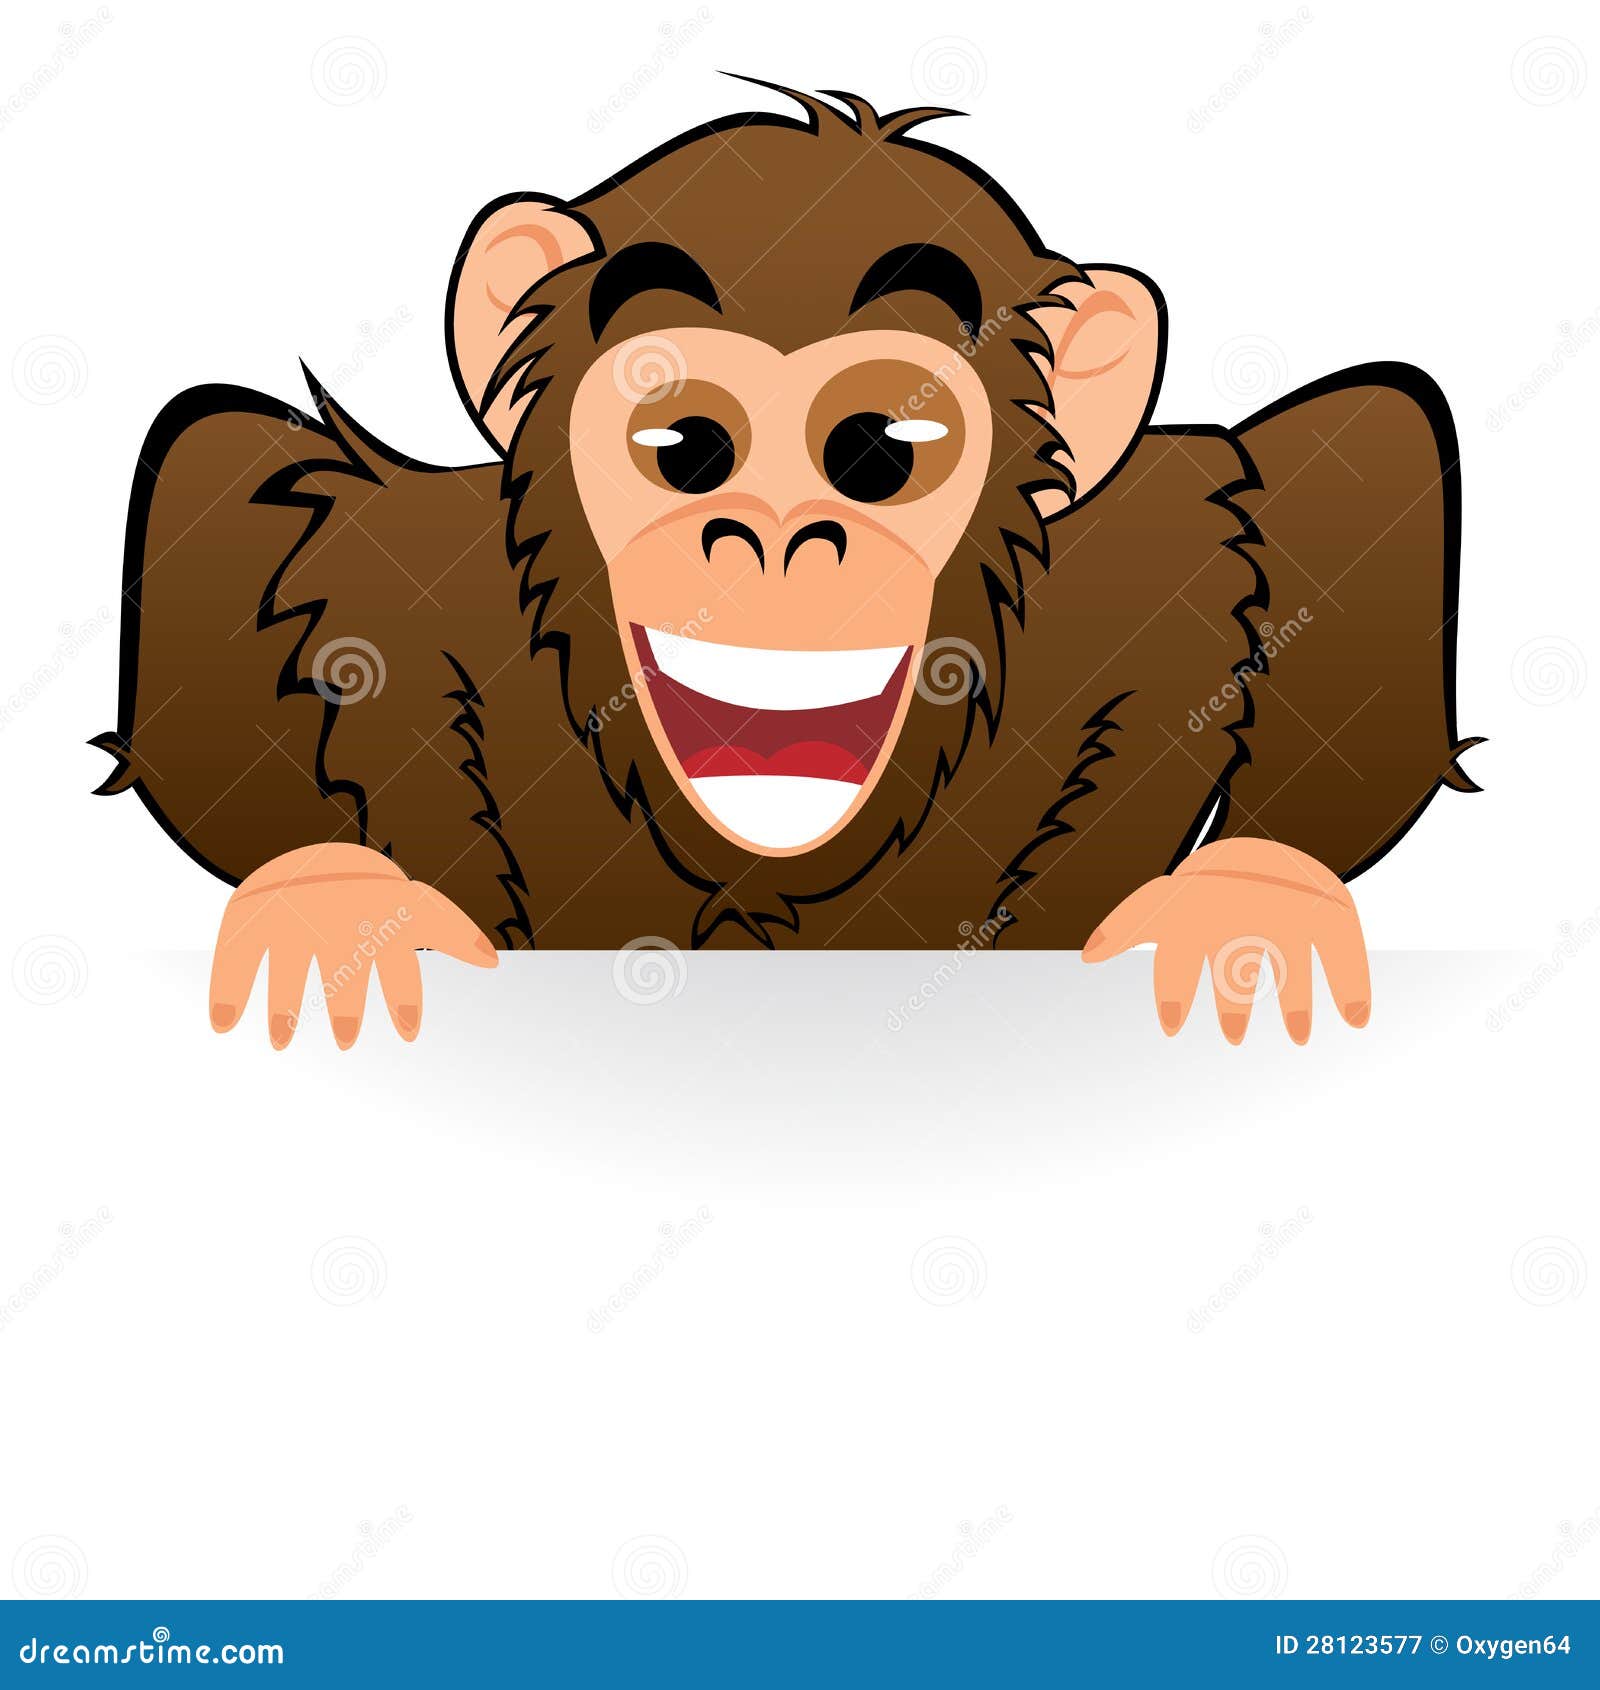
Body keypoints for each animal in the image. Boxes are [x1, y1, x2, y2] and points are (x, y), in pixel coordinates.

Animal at [94, 81, 1479, 1049]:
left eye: (875, 449)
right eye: (686, 445)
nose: (769, 535)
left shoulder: (1173, 552)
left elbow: (1367, 444)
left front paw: (1251, 896)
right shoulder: (394, 567)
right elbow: (225, 465)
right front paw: (324, 894)